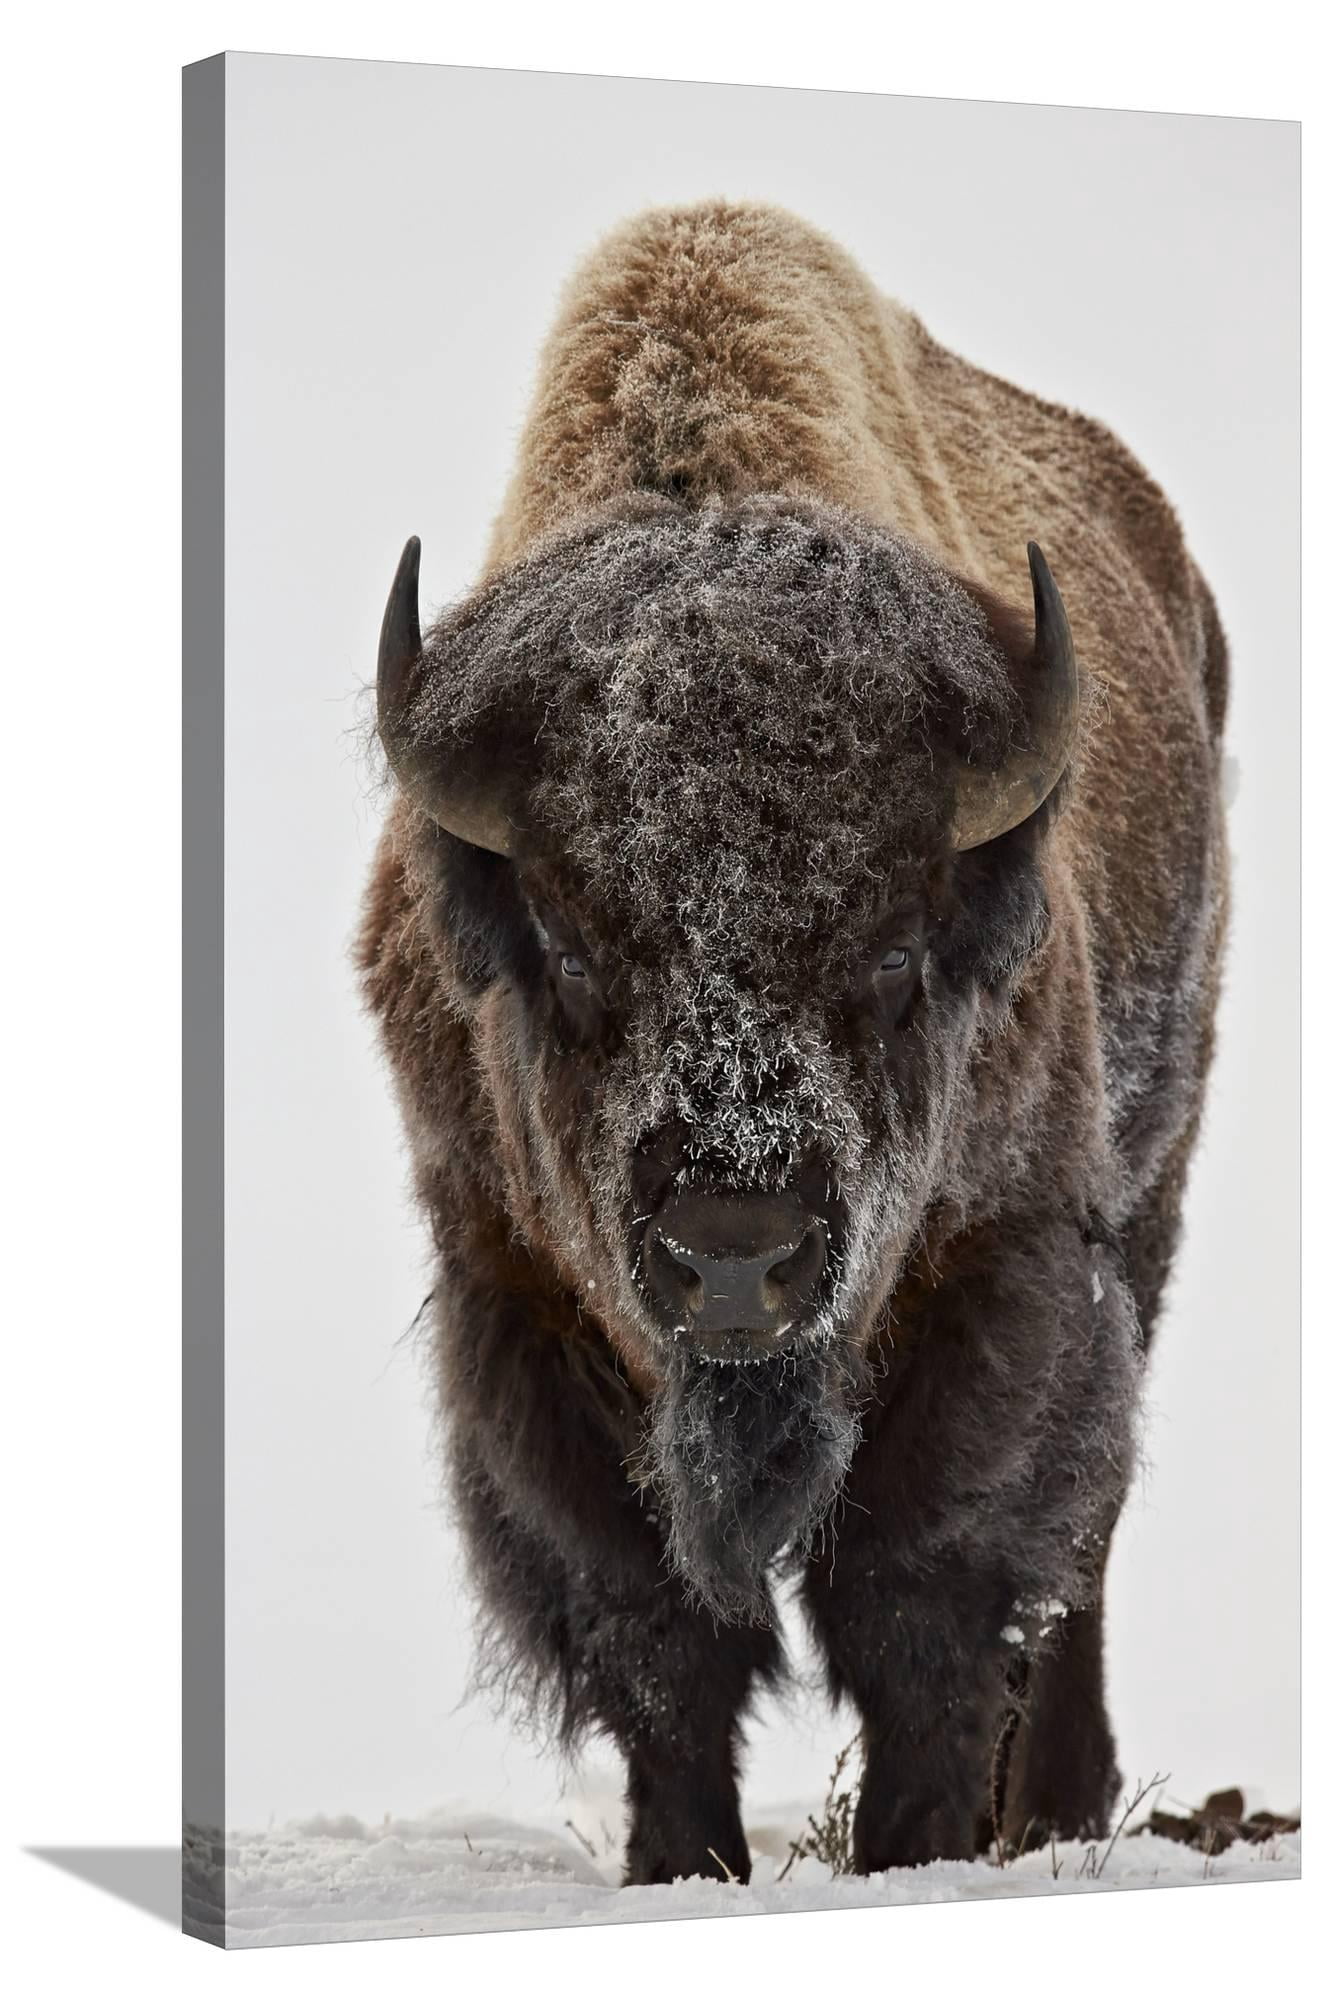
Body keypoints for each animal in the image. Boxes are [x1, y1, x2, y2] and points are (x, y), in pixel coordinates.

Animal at [358, 200, 1229, 1886]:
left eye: (893, 954)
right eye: (567, 949)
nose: (734, 1253)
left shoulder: (1001, 1267)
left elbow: (930, 1593)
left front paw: (912, 1852)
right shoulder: (514, 1291)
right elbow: (652, 1629)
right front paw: (680, 1867)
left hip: (1148, 1199)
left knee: (1081, 1548)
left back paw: (1058, 1810)